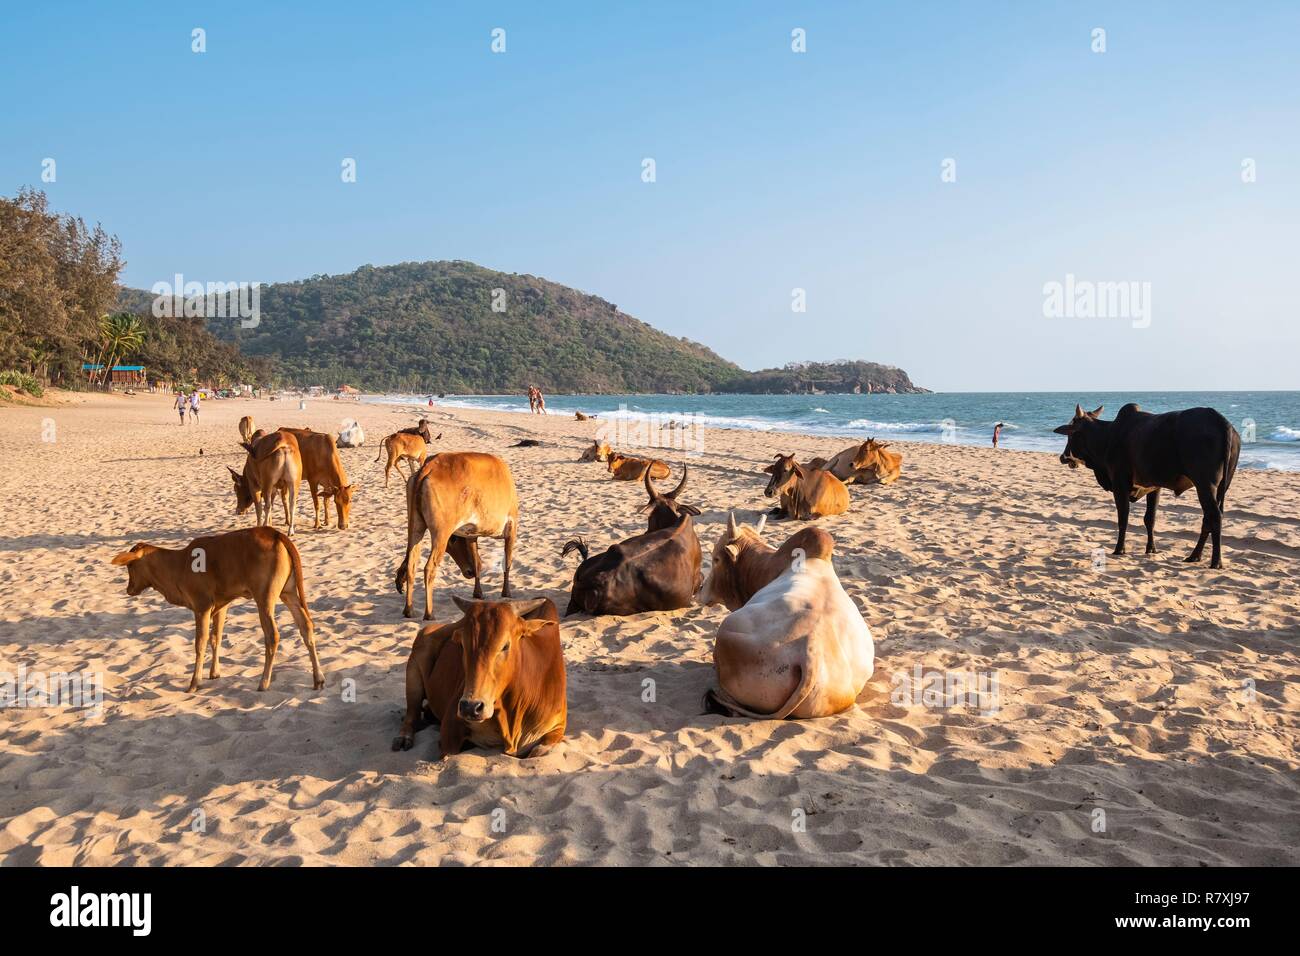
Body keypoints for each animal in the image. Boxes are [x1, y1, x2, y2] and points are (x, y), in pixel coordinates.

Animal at [110, 526, 324, 693]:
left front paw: (194, 682)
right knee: (306, 626)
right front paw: (214, 672)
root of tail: (275, 533)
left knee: (272, 636)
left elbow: (200, 643)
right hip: (289, 593)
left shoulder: (201, 607)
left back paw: (264, 682)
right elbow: (216, 638)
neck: (180, 564)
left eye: (130, 566)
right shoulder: (221, 606)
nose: (129, 589)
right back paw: (318, 678)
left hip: (264, 599)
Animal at [391, 596, 565, 759]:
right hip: (414, 668)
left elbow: (538, 750)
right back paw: (404, 737)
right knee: (412, 713)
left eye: (505, 646)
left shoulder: (558, 726)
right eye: (462, 645)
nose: (470, 707)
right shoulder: (450, 726)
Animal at [395, 452, 520, 620]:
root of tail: (428, 466)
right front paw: (506, 593)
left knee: (411, 565)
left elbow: (477, 563)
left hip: (416, 528)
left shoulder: (471, 536)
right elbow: (507, 563)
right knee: (429, 568)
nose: (468, 572)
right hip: (441, 534)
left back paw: (409, 609)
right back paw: (429, 613)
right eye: (454, 541)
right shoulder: (511, 530)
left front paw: (478, 593)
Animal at [1054, 403, 1240, 569]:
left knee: (1214, 516)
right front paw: (1151, 549)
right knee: (1209, 518)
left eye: (1071, 434)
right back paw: (1194, 556)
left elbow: (1123, 518)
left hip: (1205, 485)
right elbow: (1150, 519)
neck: (1107, 437)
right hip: (1222, 486)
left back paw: (1215, 561)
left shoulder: (1119, 484)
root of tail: (1221, 421)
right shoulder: (1154, 487)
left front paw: (1119, 549)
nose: (1063, 457)